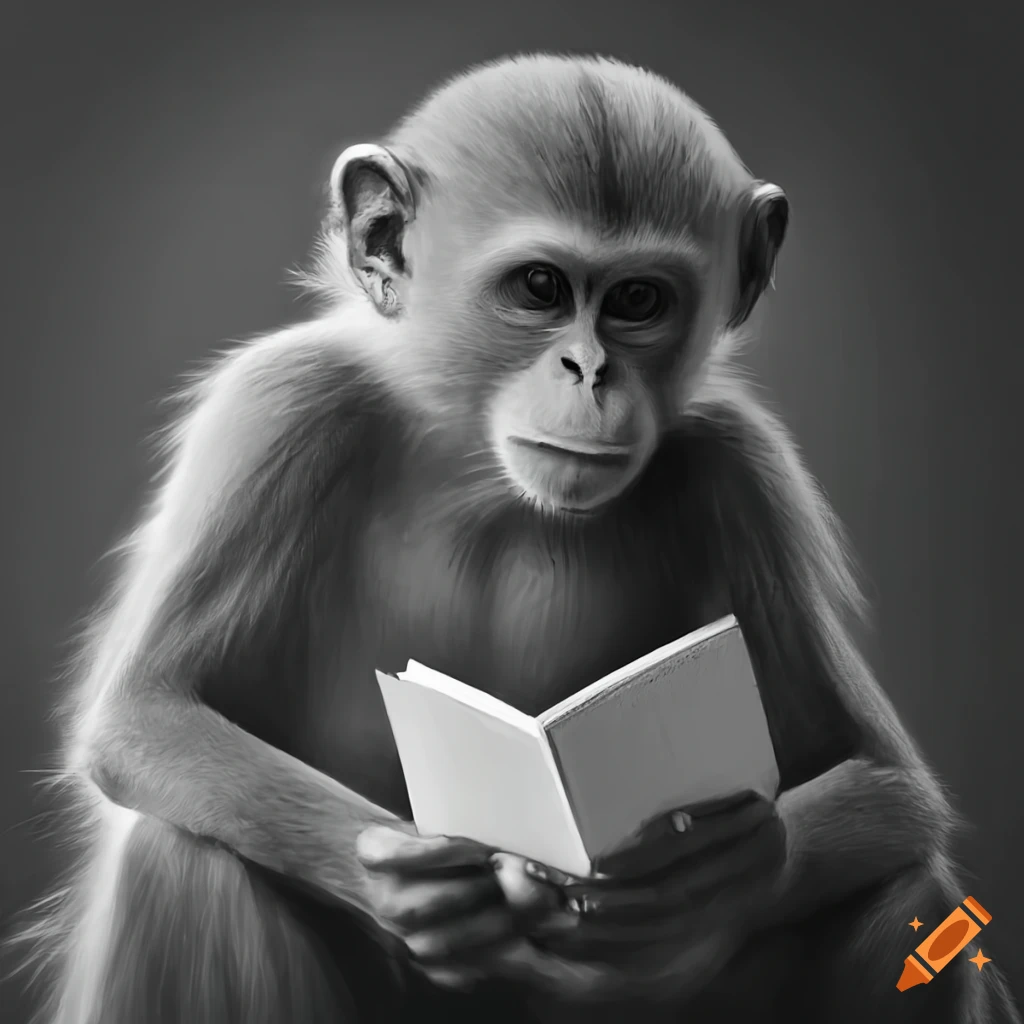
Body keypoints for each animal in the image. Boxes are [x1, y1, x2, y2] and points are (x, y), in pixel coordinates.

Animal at [14, 53, 1021, 1024]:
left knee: (909, 897)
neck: (477, 469)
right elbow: (144, 717)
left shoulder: (741, 471)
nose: (588, 370)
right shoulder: (284, 407)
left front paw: (713, 879)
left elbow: (892, 791)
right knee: (183, 862)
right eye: (541, 287)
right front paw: (413, 890)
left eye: (638, 299)